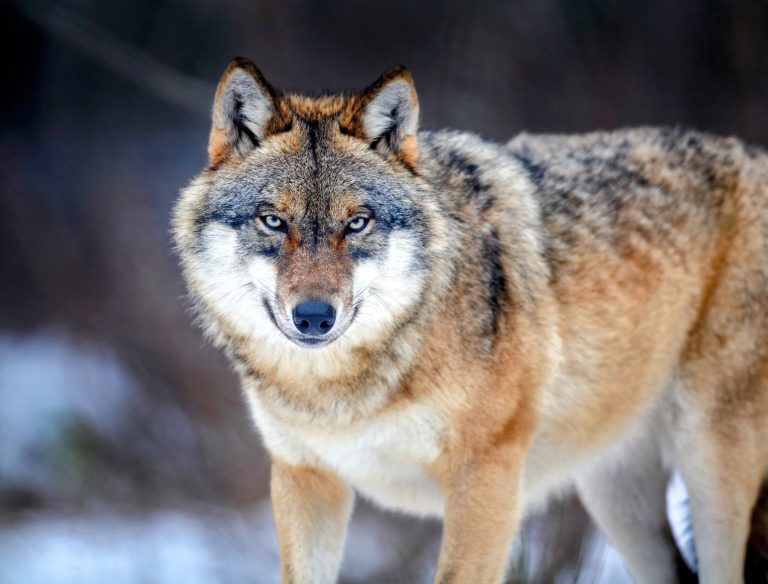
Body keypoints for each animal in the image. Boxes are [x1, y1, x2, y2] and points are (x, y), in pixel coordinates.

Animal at [172, 57, 768, 584]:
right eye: (273, 221)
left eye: (358, 223)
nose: (314, 318)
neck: (341, 394)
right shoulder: (305, 478)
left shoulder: (486, 474)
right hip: (614, 495)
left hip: (708, 464)